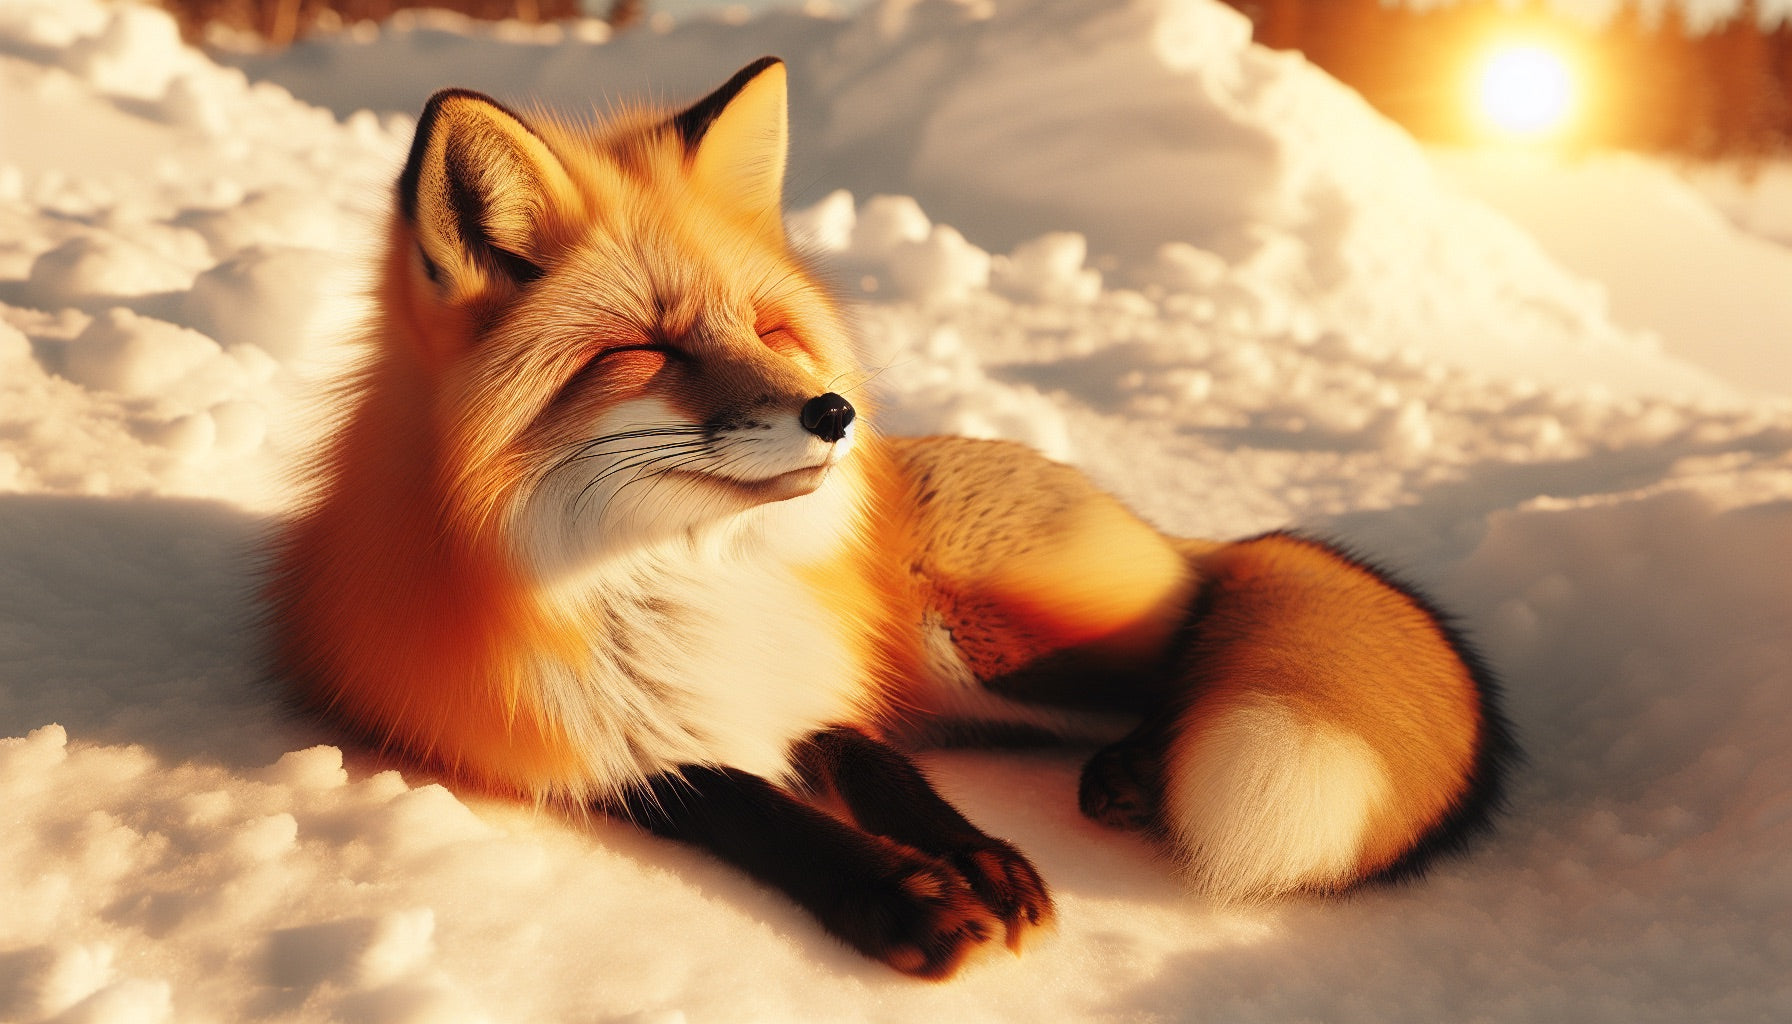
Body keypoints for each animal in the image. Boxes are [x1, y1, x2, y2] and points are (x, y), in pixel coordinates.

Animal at [268, 58, 1515, 979]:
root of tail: (1186, 537)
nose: (835, 412)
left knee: (1193, 660)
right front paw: (901, 895)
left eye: (768, 329)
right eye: (647, 349)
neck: (676, 583)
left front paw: (976, 857)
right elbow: (761, 809)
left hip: (977, 636)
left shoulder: (819, 673)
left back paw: (1137, 765)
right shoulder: (578, 743)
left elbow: (882, 773)